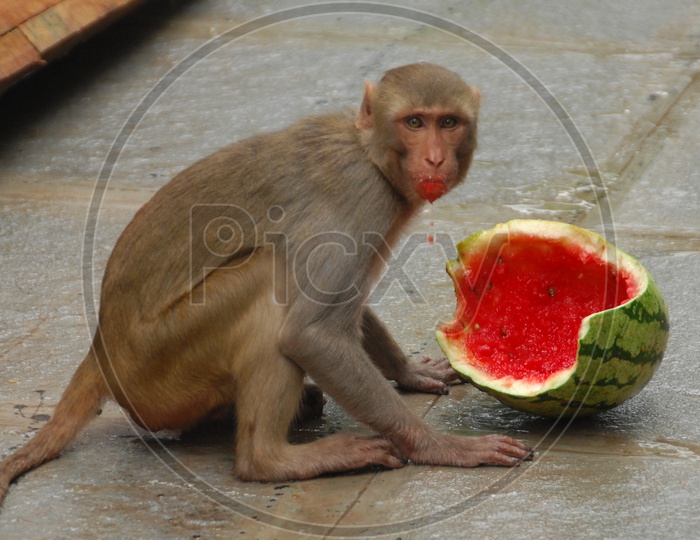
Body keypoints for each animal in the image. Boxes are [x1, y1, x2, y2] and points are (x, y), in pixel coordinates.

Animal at [0, 62, 532, 505]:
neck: (369, 152)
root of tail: (100, 347)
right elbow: (311, 332)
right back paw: (272, 460)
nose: (436, 159)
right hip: (157, 367)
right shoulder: (360, 199)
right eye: (415, 122)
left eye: (449, 122)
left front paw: (409, 371)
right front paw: (442, 447)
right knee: (268, 284)